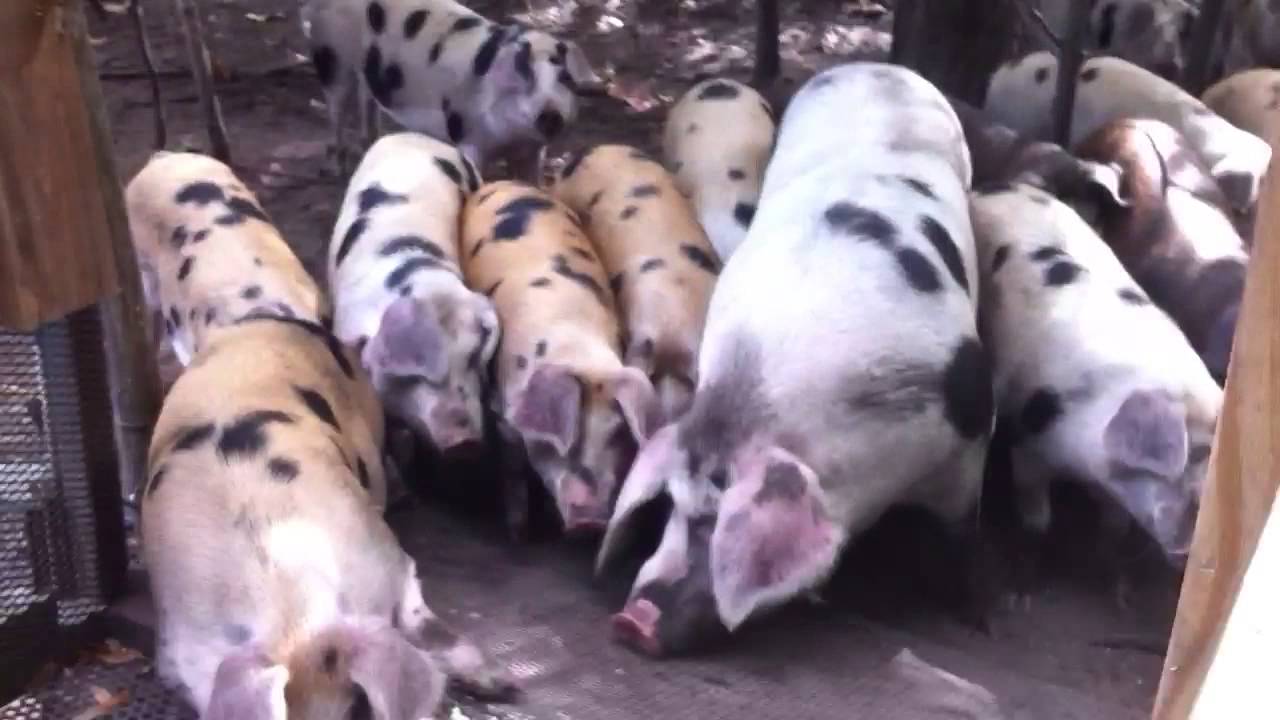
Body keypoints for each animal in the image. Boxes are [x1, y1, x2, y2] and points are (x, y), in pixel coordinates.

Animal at [300, 0, 602, 179]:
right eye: (525, 76)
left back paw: (371, 144)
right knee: (336, 108)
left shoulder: (532, 151)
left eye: (565, 78)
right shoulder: (467, 137)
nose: (550, 114)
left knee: (368, 100)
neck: (512, 138)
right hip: (331, 56)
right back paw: (335, 170)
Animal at [460, 181, 661, 536]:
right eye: (562, 439)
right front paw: (517, 531)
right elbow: (513, 467)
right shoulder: (504, 413)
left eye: (617, 433)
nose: (590, 520)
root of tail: (504, 183)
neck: (577, 352)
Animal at [969, 183, 1221, 573]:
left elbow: (1114, 521)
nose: (1195, 550)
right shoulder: (1026, 439)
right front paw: (1034, 545)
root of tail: (992, 189)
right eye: (1194, 454)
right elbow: (1034, 504)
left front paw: (1107, 547)